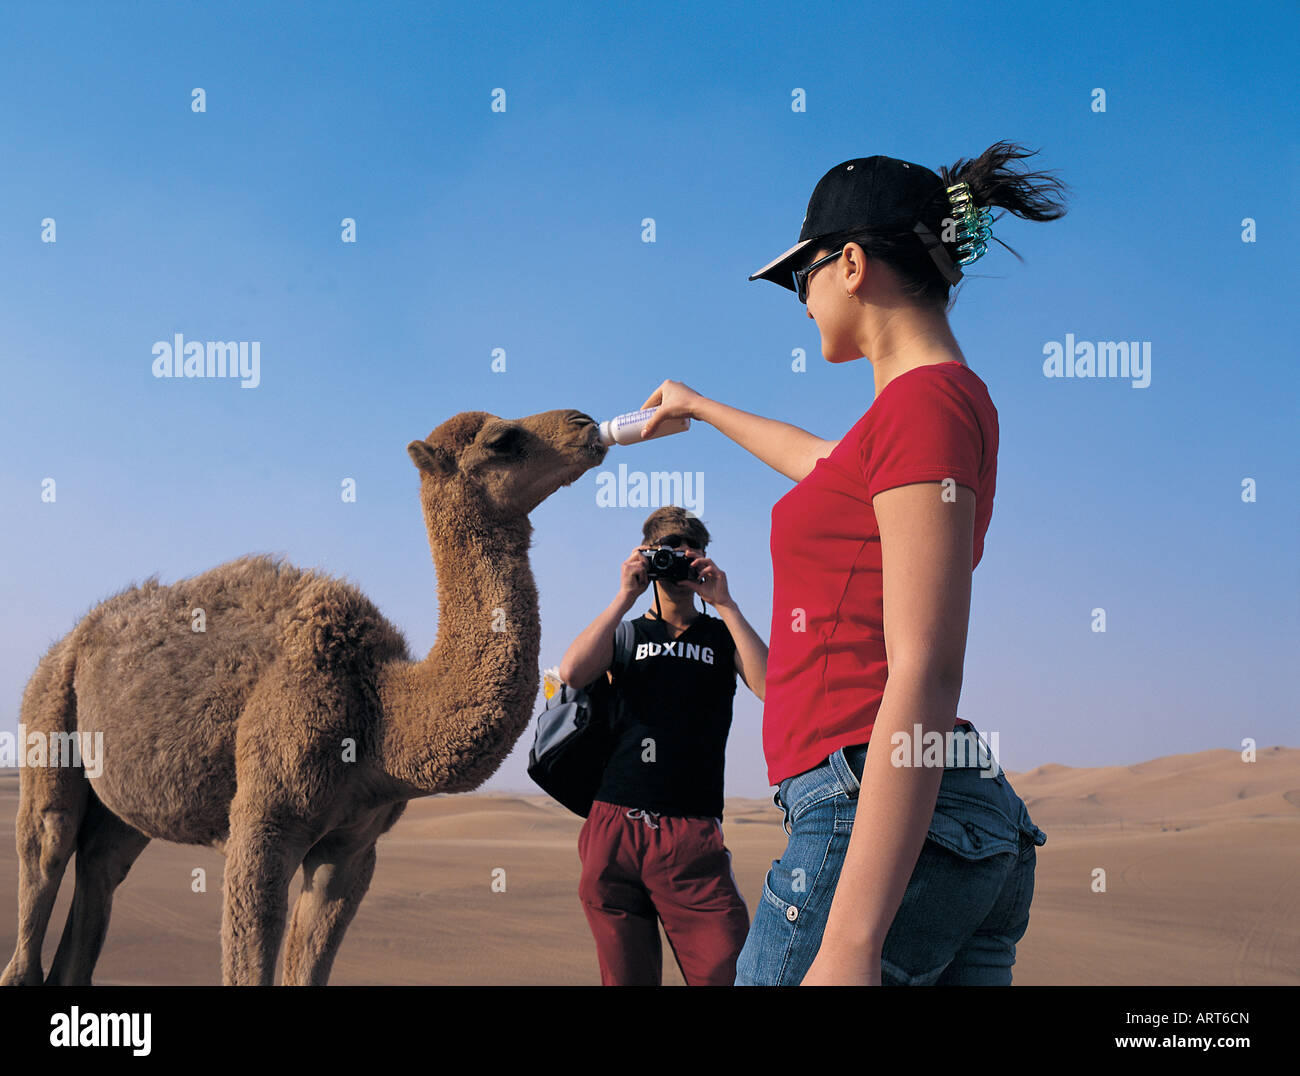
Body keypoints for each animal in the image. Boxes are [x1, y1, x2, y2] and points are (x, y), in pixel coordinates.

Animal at [1, 407, 607, 985]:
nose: (586, 424)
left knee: (101, 867)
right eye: (503, 439)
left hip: (128, 802)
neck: (380, 711)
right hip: (48, 708)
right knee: (46, 849)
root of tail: (69, 640)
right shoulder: (263, 825)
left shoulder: (354, 848)